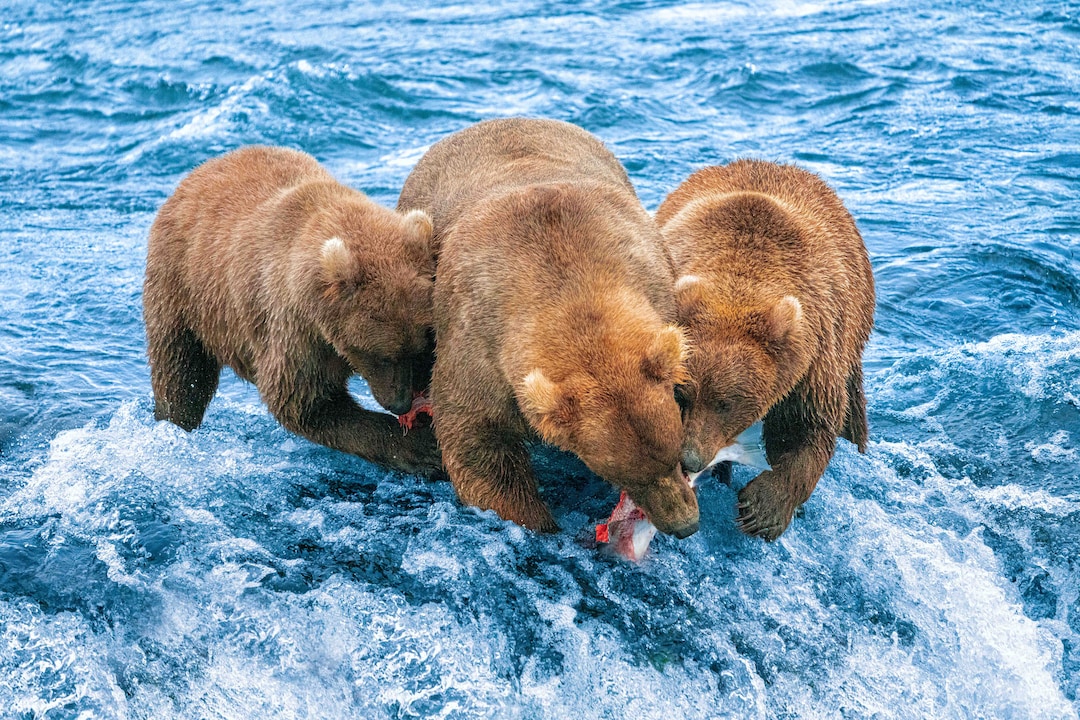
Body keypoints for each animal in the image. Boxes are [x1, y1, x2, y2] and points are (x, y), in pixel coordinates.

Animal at [143, 145, 442, 475]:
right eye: (379, 355)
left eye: (420, 348)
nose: (399, 403)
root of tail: (201, 170)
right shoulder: (296, 330)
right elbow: (301, 403)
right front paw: (420, 447)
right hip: (182, 291)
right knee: (182, 372)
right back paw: (173, 420)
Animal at [397, 118, 699, 537]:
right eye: (621, 473)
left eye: (673, 455)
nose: (684, 523)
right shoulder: (478, 345)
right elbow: (478, 441)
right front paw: (536, 522)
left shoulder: (653, 281)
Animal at [655, 159, 875, 541]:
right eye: (682, 394)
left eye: (726, 403)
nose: (690, 458)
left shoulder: (811, 359)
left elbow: (807, 428)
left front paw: (761, 509)